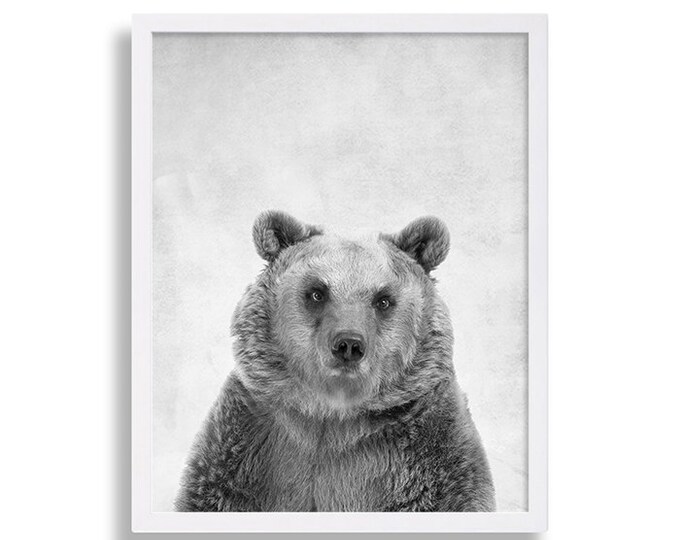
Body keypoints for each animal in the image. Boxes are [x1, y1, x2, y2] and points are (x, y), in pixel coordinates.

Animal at [175, 210, 495, 512]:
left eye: (383, 299)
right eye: (317, 292)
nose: (349, 345)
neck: (332, 413)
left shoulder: (427, 453)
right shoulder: (250, 443)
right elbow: (216, 492)